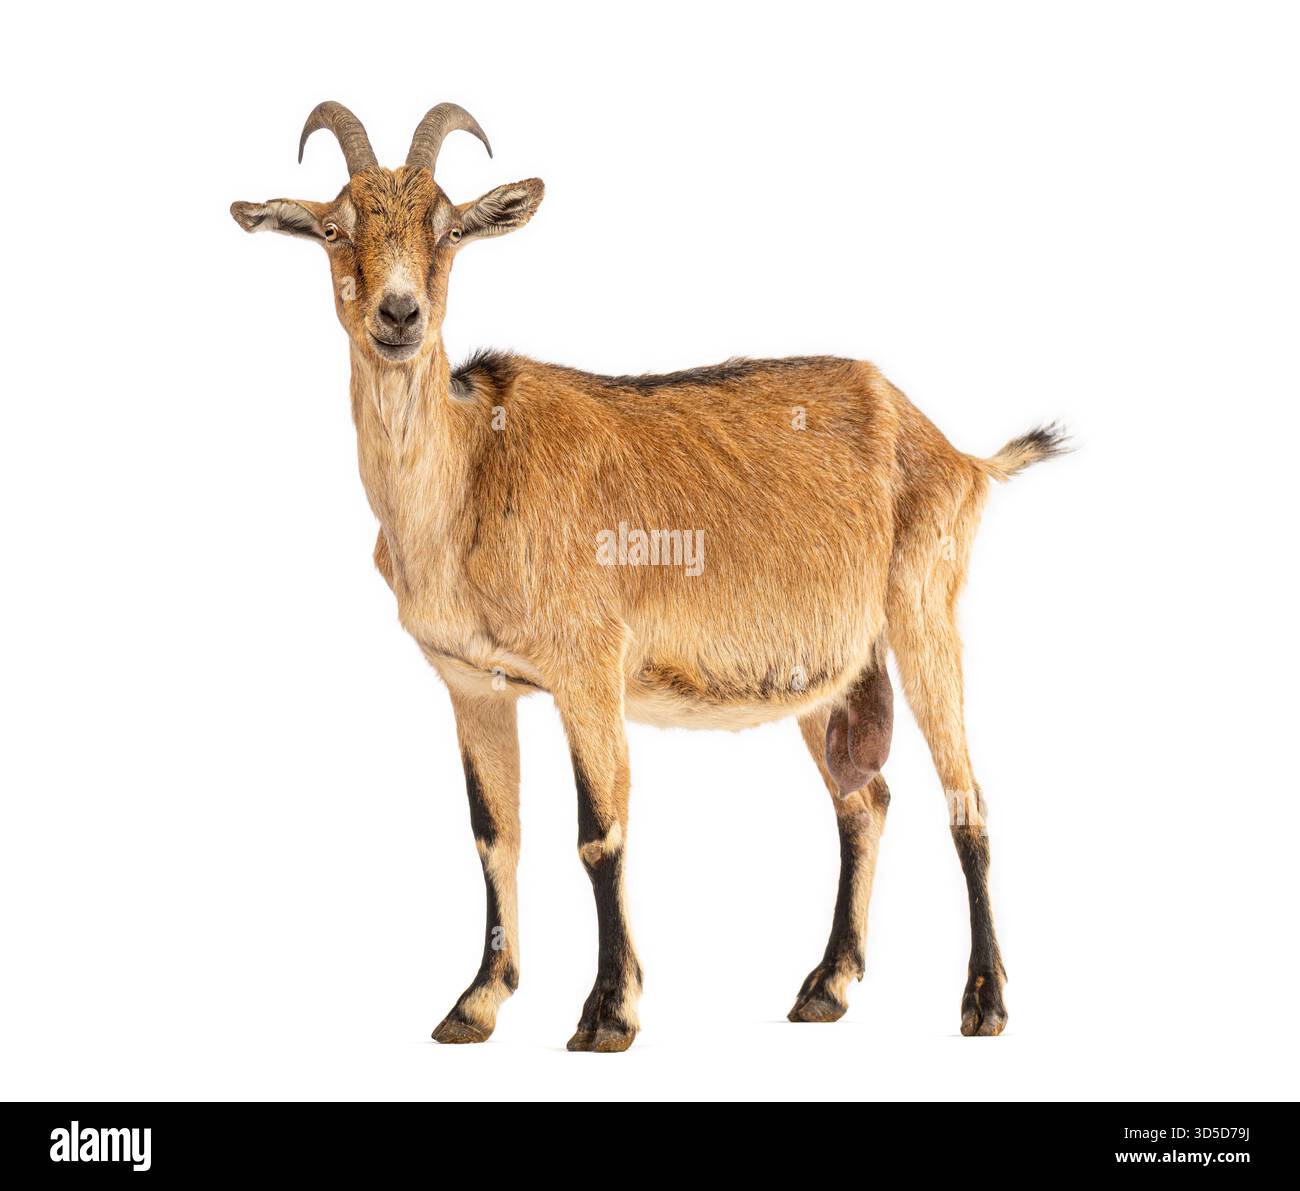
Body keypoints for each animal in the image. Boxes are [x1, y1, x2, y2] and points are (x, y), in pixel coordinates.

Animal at [231, 101, 1067, 1051]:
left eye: (447, 227)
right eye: (335, 228)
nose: (398, 313)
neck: (473, 469)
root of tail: (956, 451)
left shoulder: (588, 666)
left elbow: (600, 830)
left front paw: (607, 1010)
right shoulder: (473, 683)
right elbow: (492, 834)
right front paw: (474, 1002)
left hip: (926, 608)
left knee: (967, 797)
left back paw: (984, 1001)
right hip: (828, 669)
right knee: (867, 800)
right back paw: (825, 985)